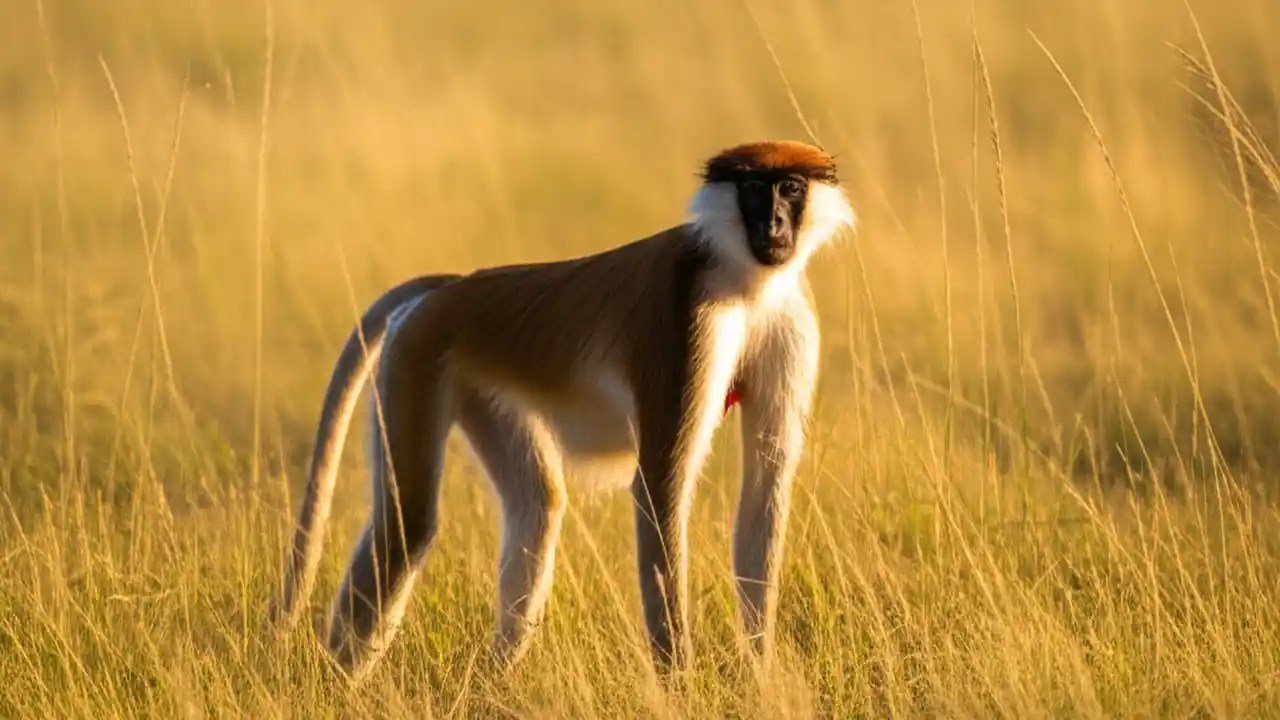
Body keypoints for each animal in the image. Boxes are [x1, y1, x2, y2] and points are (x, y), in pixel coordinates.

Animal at [273, 140, 855, 679]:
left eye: (791, 188)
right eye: (755, 189)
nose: (775, 222)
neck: (742, 276)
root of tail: (455, 288)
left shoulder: (791, 319)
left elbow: (764, 485)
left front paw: (761, 673)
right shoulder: (686, 321)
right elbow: (661, 488)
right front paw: (680, 681)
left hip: (476, 383)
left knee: (537, 504)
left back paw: (494, 682)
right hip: (419, 353)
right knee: (407, 523)